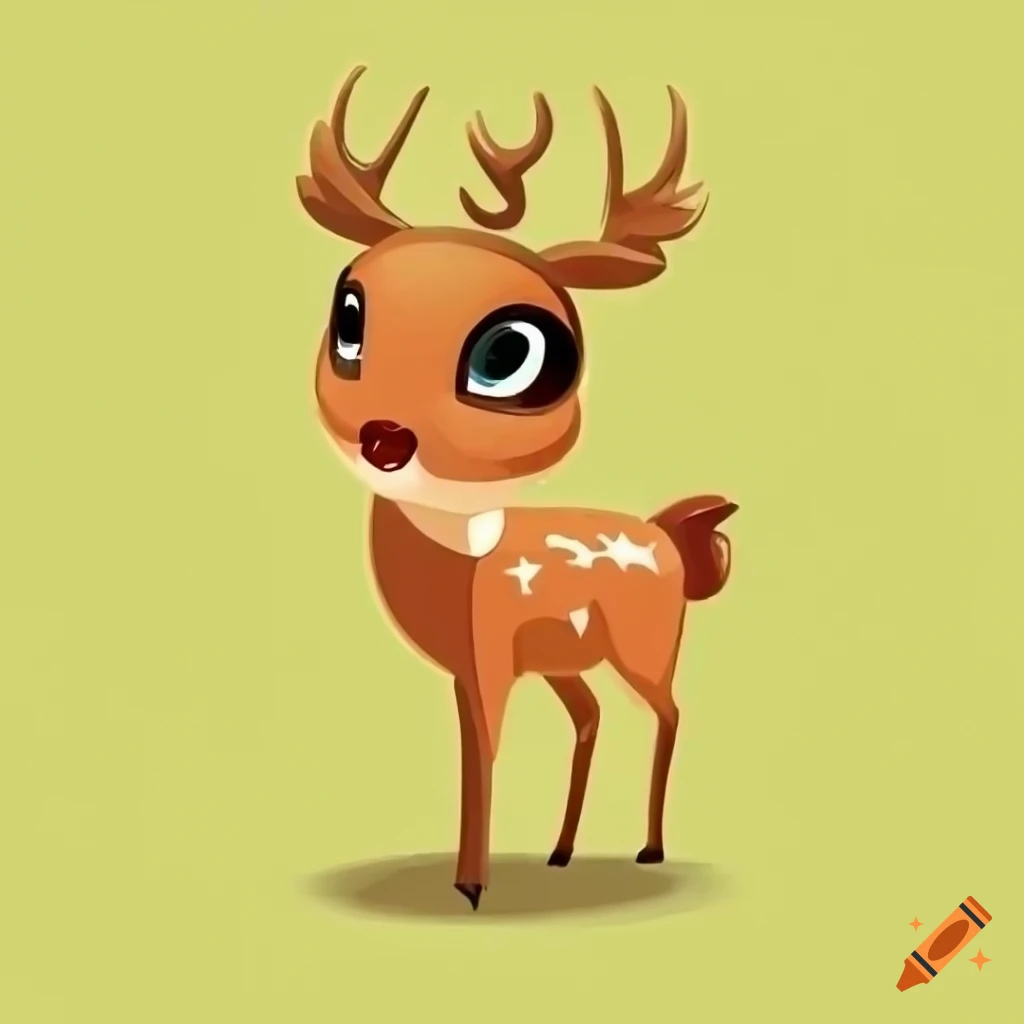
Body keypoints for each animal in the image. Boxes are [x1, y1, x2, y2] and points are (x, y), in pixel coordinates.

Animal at [296, 66, 737, 912]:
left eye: (510, 354)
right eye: (349, 316)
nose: (385, 438)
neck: (462, 563)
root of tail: (670, 534)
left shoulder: (491, 662)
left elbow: (487, 756)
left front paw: (472, 886)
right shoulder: (468, 669)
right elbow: (476, 752)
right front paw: (474, 879)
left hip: (644, 644)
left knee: (668, 711)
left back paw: (649, 848)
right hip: (574, 660)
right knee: (592, 717)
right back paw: (562, 853)